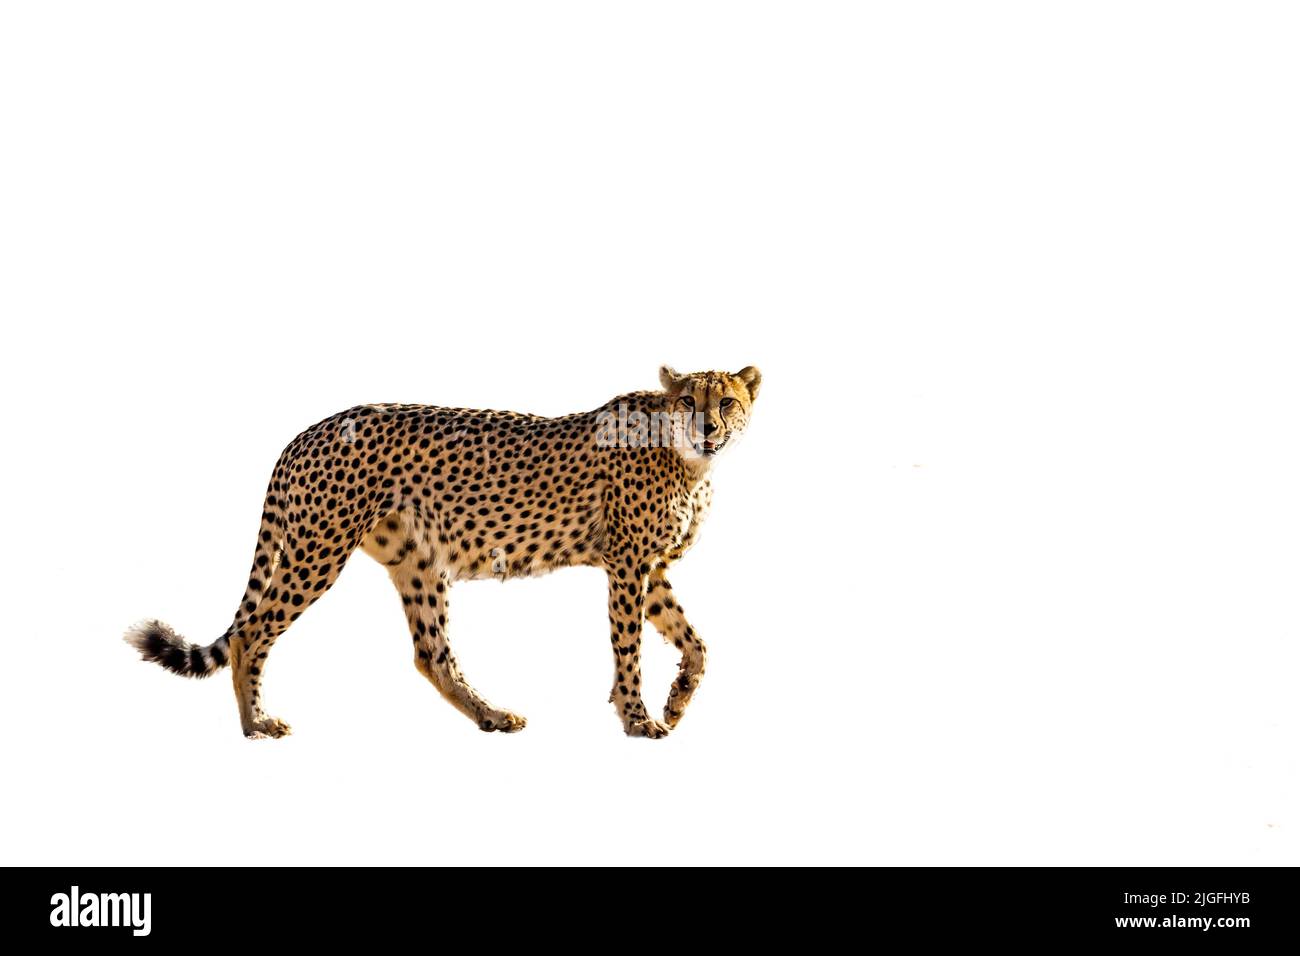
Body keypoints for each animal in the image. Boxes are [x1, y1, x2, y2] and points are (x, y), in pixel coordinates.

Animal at [126, 365, 761, 740]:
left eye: (726, 402)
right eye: (689, 401)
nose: (708, 428)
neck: (689, 462)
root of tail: (307, 431)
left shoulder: (649, 567)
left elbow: (696, 643)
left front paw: (675, 703)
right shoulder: (627, 564)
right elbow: (629, 647)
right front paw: (636, 716)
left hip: (417, 562)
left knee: (431, 654)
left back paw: (491, 714)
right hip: (320, 550)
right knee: (253, 632)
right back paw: (254, 722)